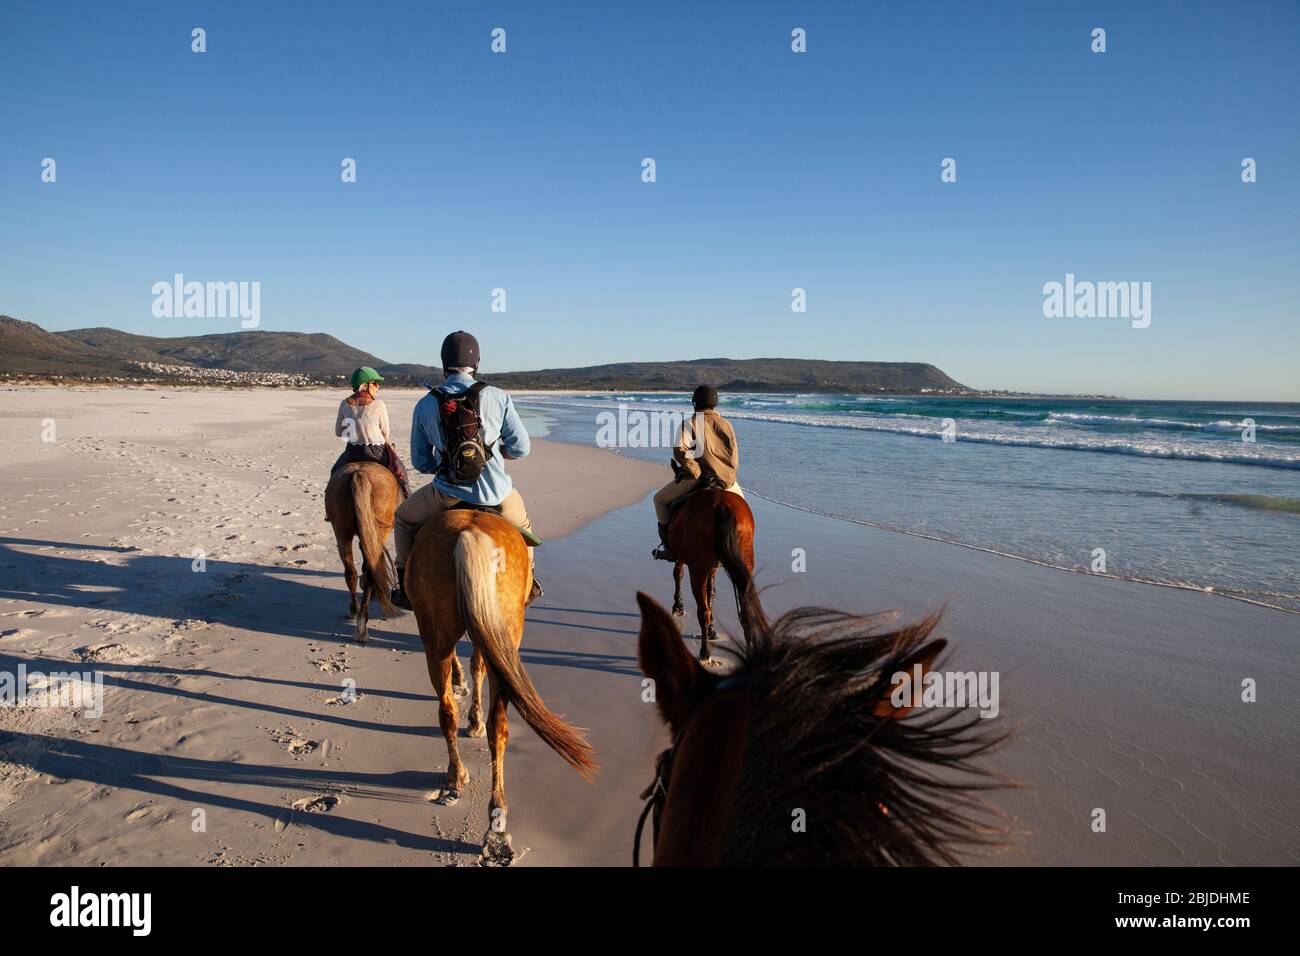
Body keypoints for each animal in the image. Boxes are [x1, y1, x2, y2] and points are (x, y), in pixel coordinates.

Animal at [324, 461, 402, 643]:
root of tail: (358, 474)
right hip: (379, 530)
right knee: (370, 573)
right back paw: (361, 626)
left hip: (341, 531)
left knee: (350, 572)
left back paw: (354, 611)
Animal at [405, 507, 597, 865]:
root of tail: (468, 533)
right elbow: (478, 666)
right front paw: (475, 720)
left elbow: (474, 665)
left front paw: (472, 717)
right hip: (505, 630)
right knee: (497, 724)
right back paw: (492, 819)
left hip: (437, 638)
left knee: (448, 711)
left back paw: (460, 783)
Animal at [664, 487, 768, 662]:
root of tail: (723, 505)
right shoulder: (712, 566)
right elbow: (711, 592)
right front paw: (712, 631)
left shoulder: (682, 557)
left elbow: (678, 574)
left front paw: (678, 606)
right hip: (744, 565)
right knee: (745, 609)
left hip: (697, 569)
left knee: (702, 610)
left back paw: (705, 653)